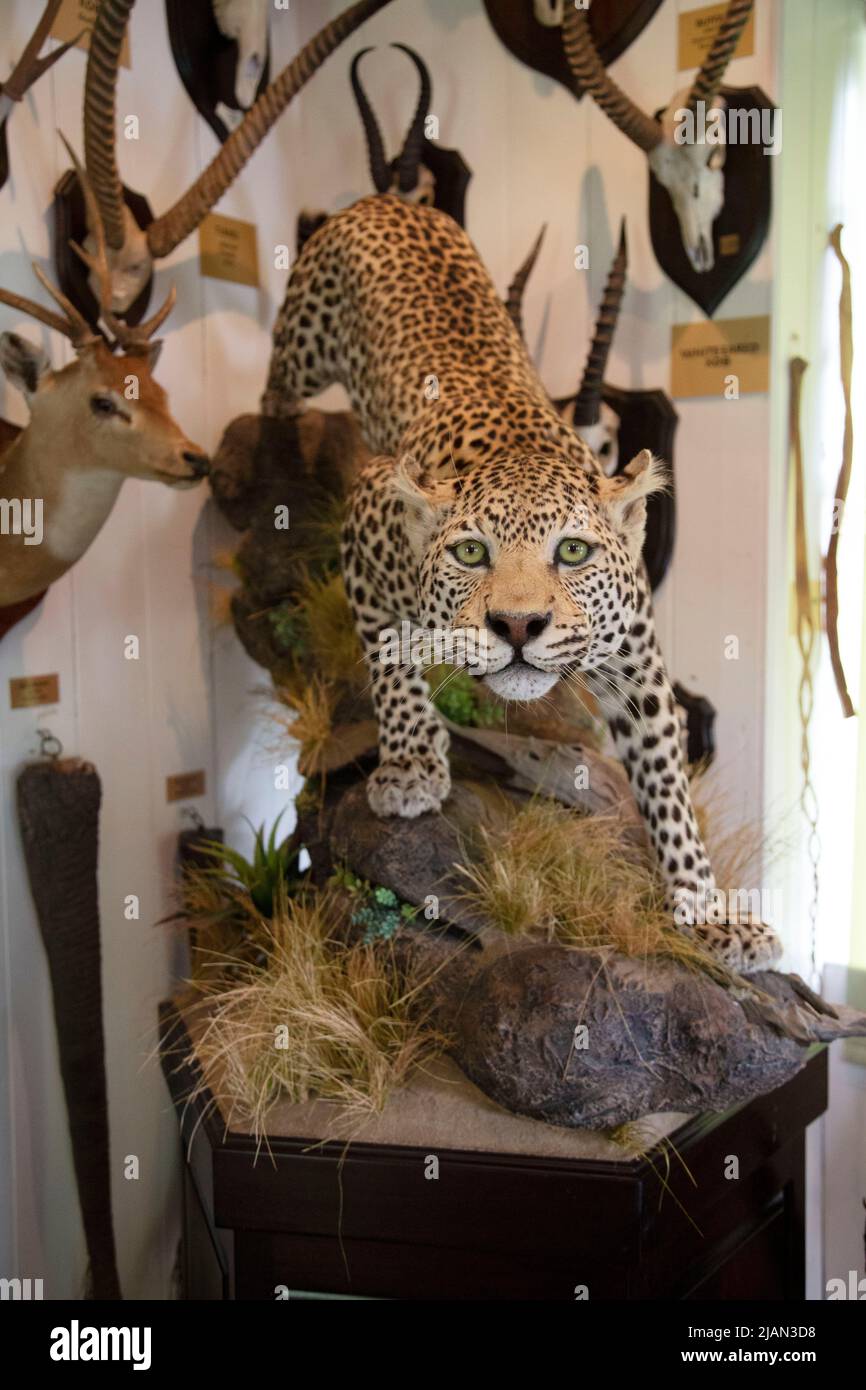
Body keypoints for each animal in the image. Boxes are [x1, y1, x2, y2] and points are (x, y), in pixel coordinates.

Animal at [263, 193, 780, 975]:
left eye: (572, 552)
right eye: (471, 552)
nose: (516, 626)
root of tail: (389, 199)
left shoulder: (637, 666)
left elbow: (667, 782)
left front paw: (709, 911)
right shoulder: (367, 532)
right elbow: (392, 663)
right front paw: (412, 766)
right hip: (305, 337)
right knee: (277, 380)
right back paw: (272, 434)